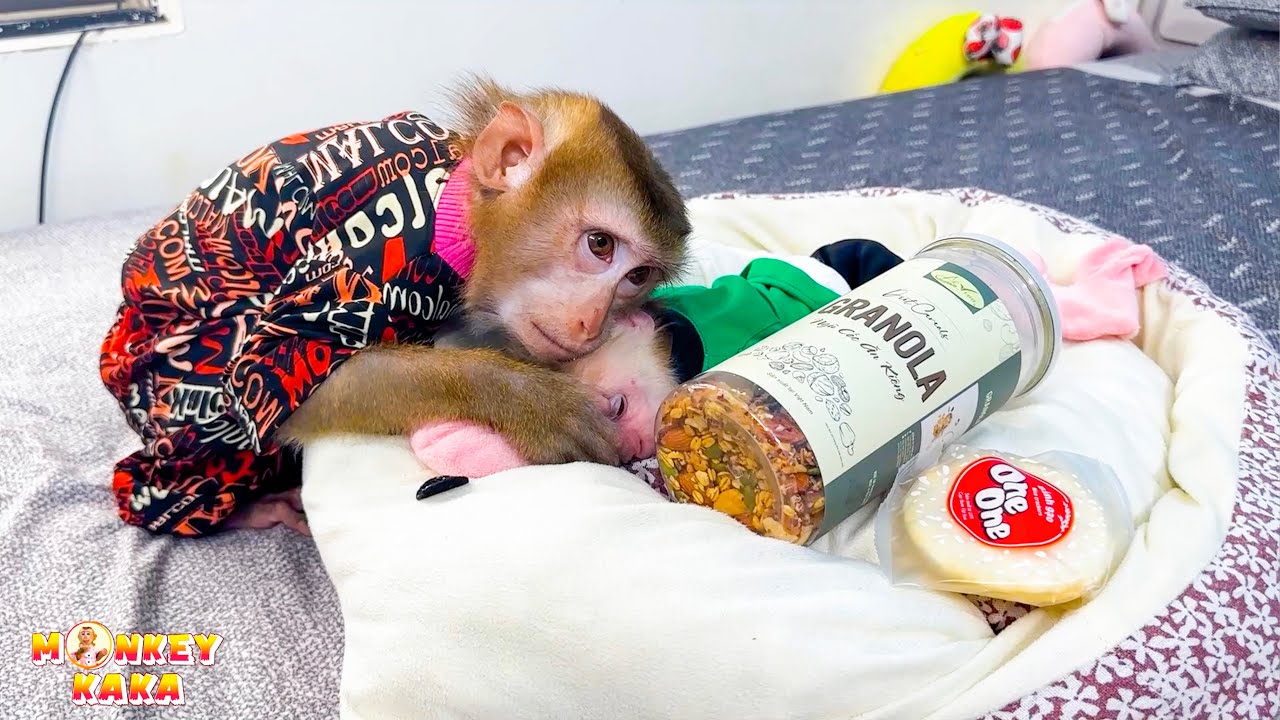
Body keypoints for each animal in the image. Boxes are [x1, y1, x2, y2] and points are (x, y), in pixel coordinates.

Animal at [100, 74, 691, 537]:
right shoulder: (373, 253)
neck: (459, 216)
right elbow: (274, 379)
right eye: (600, 245)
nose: (592, 322)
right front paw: (537, 405)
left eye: (638, 277)